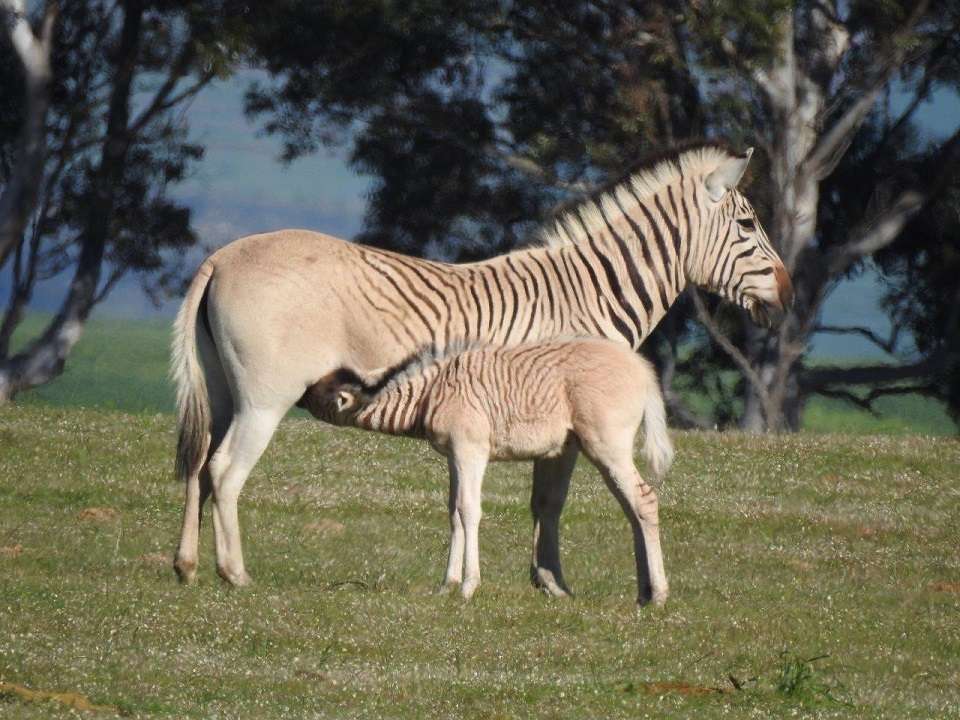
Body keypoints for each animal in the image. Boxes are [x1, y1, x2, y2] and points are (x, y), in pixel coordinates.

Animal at [298, 337, 674, 606]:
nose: (296, 396)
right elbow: (453, 512)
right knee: (632, 507)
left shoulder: (471, 451)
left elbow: (470, 510)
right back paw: (643, 593)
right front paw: (446, 585)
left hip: (606, 446)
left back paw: (658, 595)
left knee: (644, 501)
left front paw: (468, 587)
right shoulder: (454, 455)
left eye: (317, 390)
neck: (432, 390)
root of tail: (642, 369)